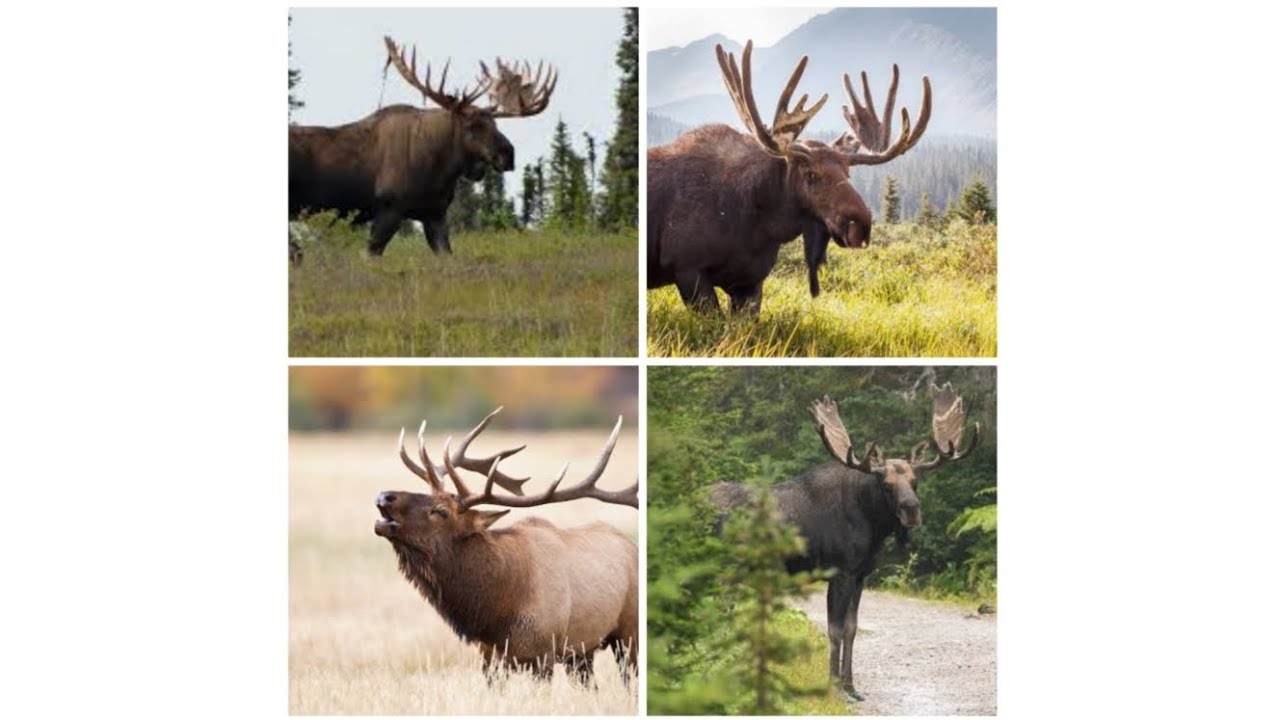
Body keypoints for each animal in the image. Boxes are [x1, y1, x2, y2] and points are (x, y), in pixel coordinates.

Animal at [373, 407, 638, 683]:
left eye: (441, 511)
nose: (384, 496)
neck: (497, 613)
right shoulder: (490, 657)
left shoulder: (544, 652)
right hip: (582, 652)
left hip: (629, 633)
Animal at [647, 40, 931, 313]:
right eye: (810, 174)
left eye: (848, 172)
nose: (860, 225)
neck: (758, 222)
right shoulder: (686, 267)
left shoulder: (750, 281)